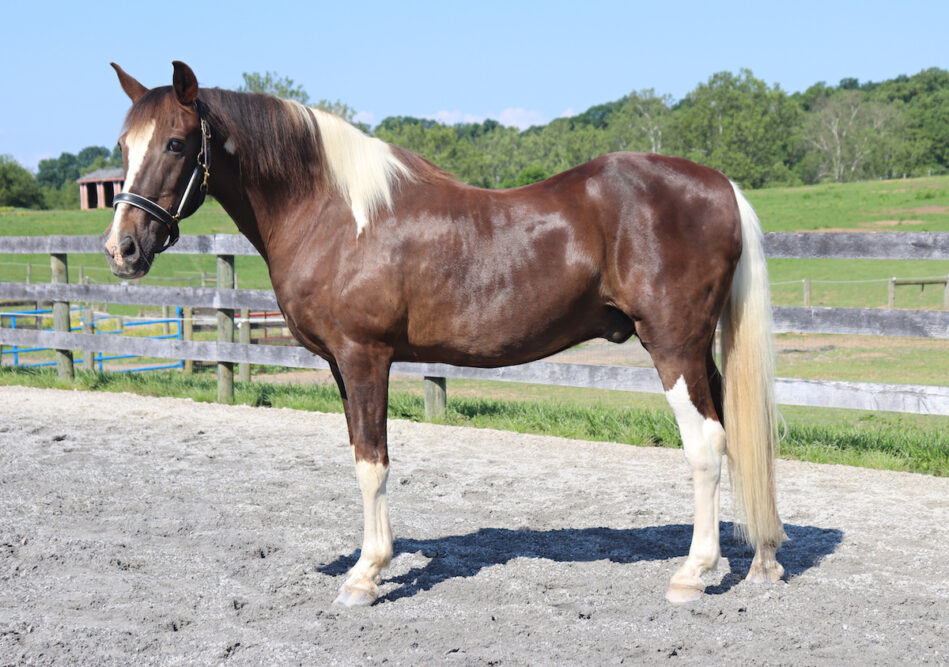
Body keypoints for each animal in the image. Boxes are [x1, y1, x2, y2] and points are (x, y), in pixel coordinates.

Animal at [103, 61, 785, 607]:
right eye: (123, 145)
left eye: (175, 143)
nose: (122, 249)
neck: (334, 214)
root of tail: (721, 185)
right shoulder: (340, 367)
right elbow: (361, 455)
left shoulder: (364, 358)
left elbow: (372, 463)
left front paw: (365, 576)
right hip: (699, 352)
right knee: (738, 437)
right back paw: (763, 561)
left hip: (671, 346)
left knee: (706, 445)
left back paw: (693, 574)